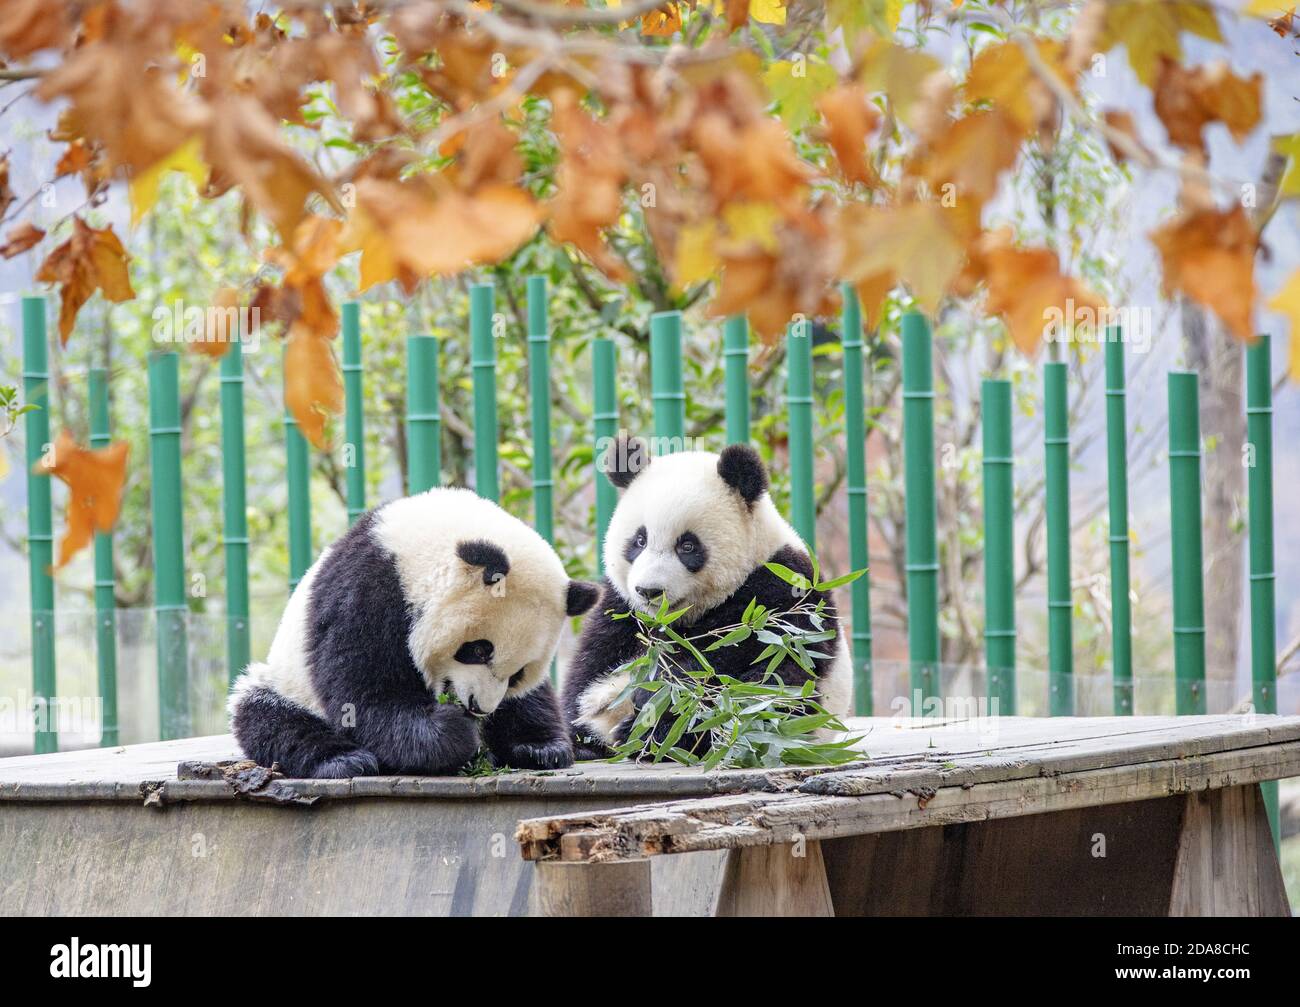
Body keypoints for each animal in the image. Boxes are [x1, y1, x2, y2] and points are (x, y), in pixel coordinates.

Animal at [229, 487, 599, 778]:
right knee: (270, 718)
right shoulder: (369, 588)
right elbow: (367, 692)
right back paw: (345, 760)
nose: (479, 707)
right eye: (479, 649)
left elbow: (531, 697)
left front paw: (539, 747)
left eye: (519, 672)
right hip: (287, 682)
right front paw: (453, 733)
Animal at [560, 438, 852, 759]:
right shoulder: (621, 608)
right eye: (639, 540)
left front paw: (655, 693)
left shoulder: (782, 588)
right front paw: (581, 728)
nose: (649, 591)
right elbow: (591, 665)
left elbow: (733, 652)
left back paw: (655, 735)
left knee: (772, 690)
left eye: (687, 546)